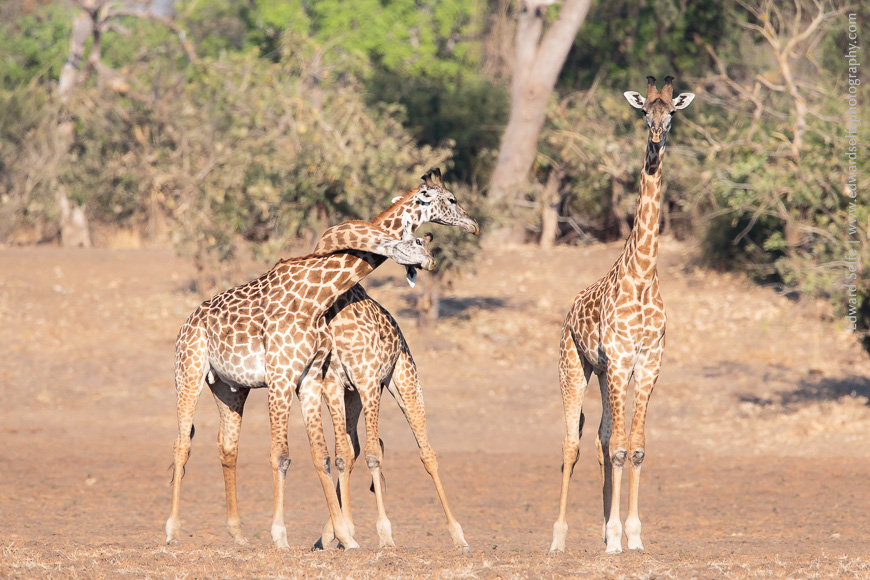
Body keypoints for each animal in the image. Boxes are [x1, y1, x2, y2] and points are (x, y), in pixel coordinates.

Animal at [165, 219, 435, 550]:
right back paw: (172, 532)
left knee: (227, 446)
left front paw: (343, 536)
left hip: (230, 389)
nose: (428, 260)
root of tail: (187, 322)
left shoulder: (314, 377)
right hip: (188, 372)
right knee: (182, 443)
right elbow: (284, 455)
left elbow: (324, 454)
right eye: (414, 240)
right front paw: (283, 536)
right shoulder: (286, 377)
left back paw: (239, 535)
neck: (316, 296)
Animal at [548, 76, 694, 555]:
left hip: (602, 371)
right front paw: (616, 541)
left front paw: (631, 534)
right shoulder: (619, 358)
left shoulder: (647, 362)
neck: (644, 273)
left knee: (599, 438)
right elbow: (617, 448)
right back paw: (558, 539)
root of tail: (569, 311)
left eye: (671, 113)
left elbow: (636, 446)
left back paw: (602, 528)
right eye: (644, 112)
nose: (656, 138)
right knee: (571, 443)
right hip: (574, 366)